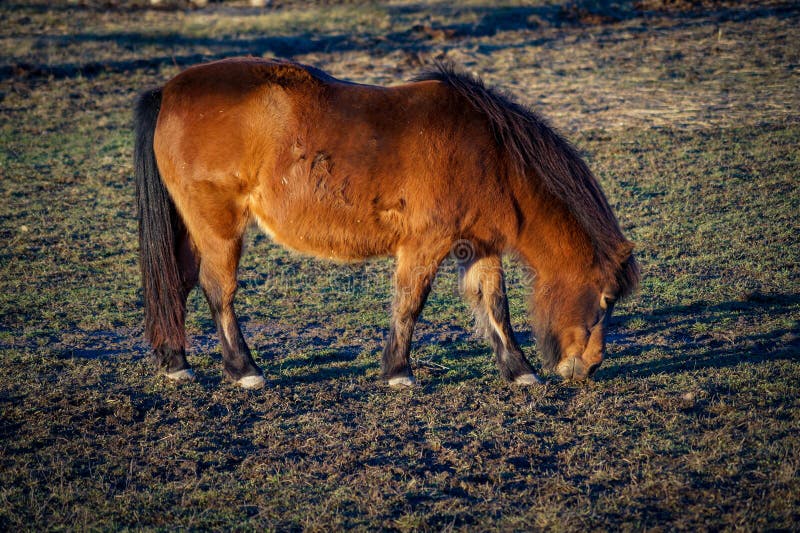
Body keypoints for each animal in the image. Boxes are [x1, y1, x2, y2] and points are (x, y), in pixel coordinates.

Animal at [133, 57, 639, 389]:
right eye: (606, 301)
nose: (590, 368)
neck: (490, 155)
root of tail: (168, 92)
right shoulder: (426, 245)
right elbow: (410, 305)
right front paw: (399, 373)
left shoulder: (477, 246)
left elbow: (494, 305)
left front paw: (520, 372)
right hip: (220, 228)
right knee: (218, 290)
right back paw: (244, 371)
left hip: (194, 228)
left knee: (178, 281)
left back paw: (176, 362)